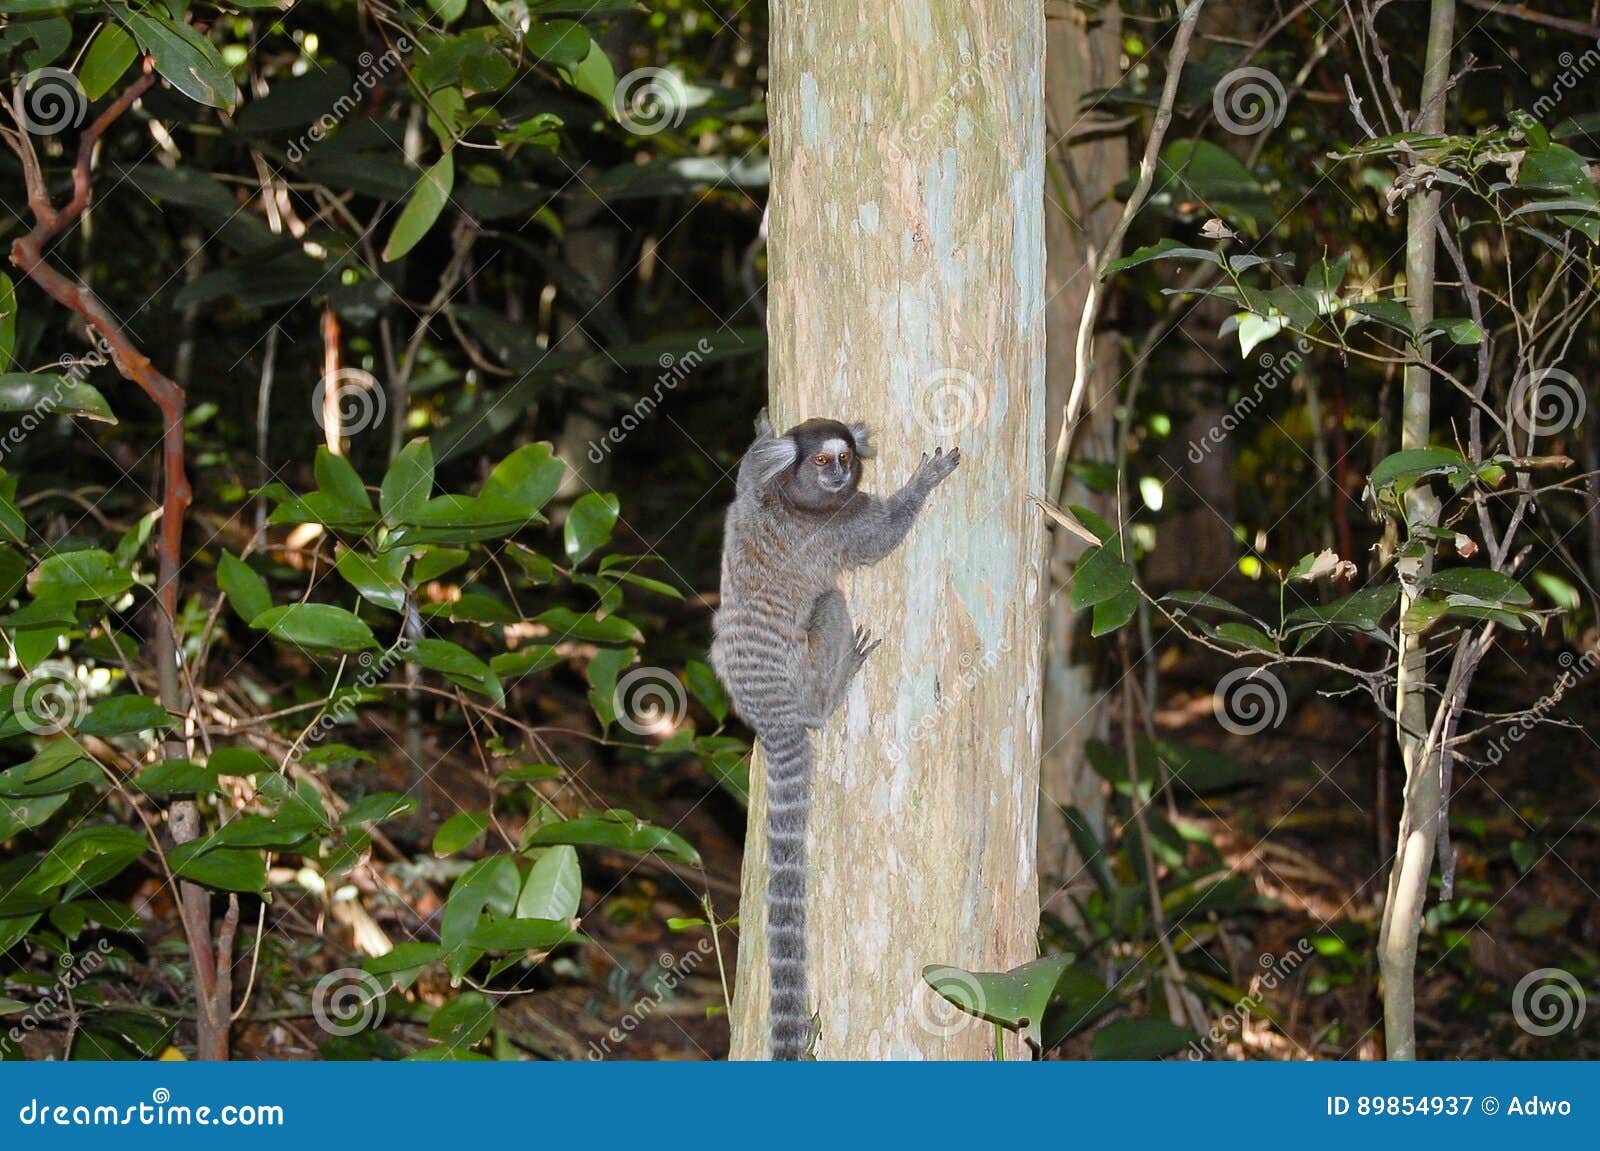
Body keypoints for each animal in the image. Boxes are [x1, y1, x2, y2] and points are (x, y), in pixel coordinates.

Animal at [709, 410, 961, 1059]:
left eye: (844, 456)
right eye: (823, 461)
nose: (840, 474)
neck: (794, 499)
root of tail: (773, 715)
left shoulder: (751, 493)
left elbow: (744, 475)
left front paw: (762, 431)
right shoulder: (842, 523)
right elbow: (880, 535)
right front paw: (922, 484)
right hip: (808, 673)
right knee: (829, 604)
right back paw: (837, 685)